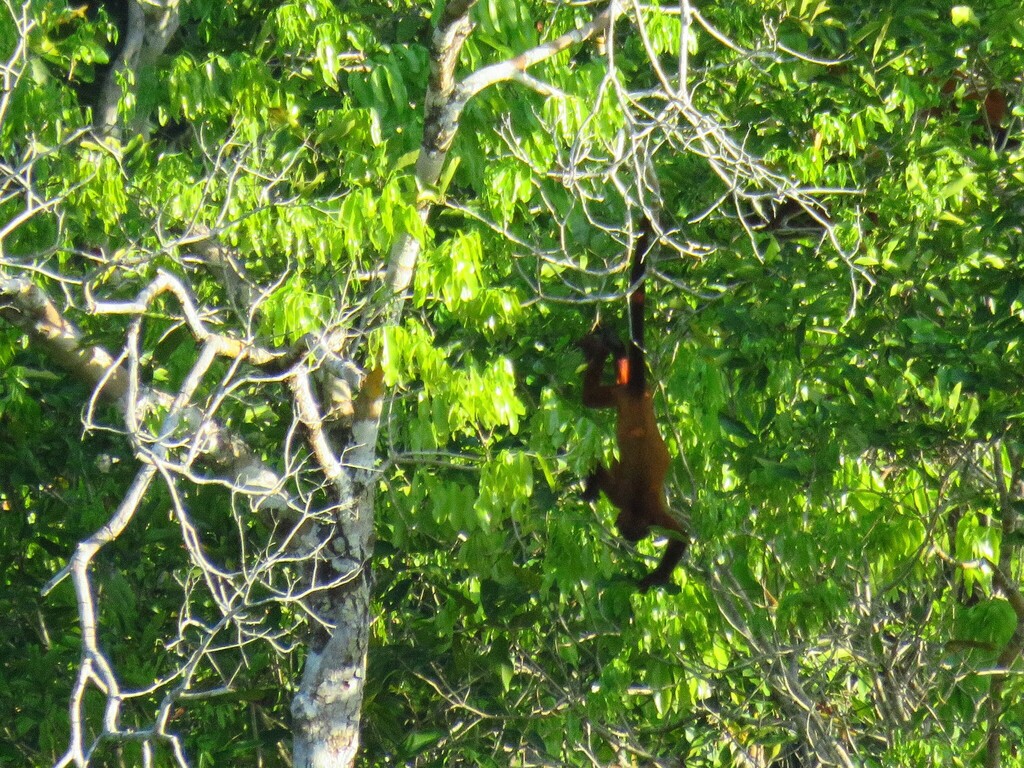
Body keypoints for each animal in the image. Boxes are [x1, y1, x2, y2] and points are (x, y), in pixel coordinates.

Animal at [579, 220, 687, 591]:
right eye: (632, 533)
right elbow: (682, 534)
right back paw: (606, 349)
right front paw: (656, 576)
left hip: (623, 395)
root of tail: (639, 392)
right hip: (622, 397)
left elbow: (681, 536)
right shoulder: (628, 499)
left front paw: (654, 577)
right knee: (588, 398)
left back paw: (615, 348)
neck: (638, 509)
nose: (627, 538)